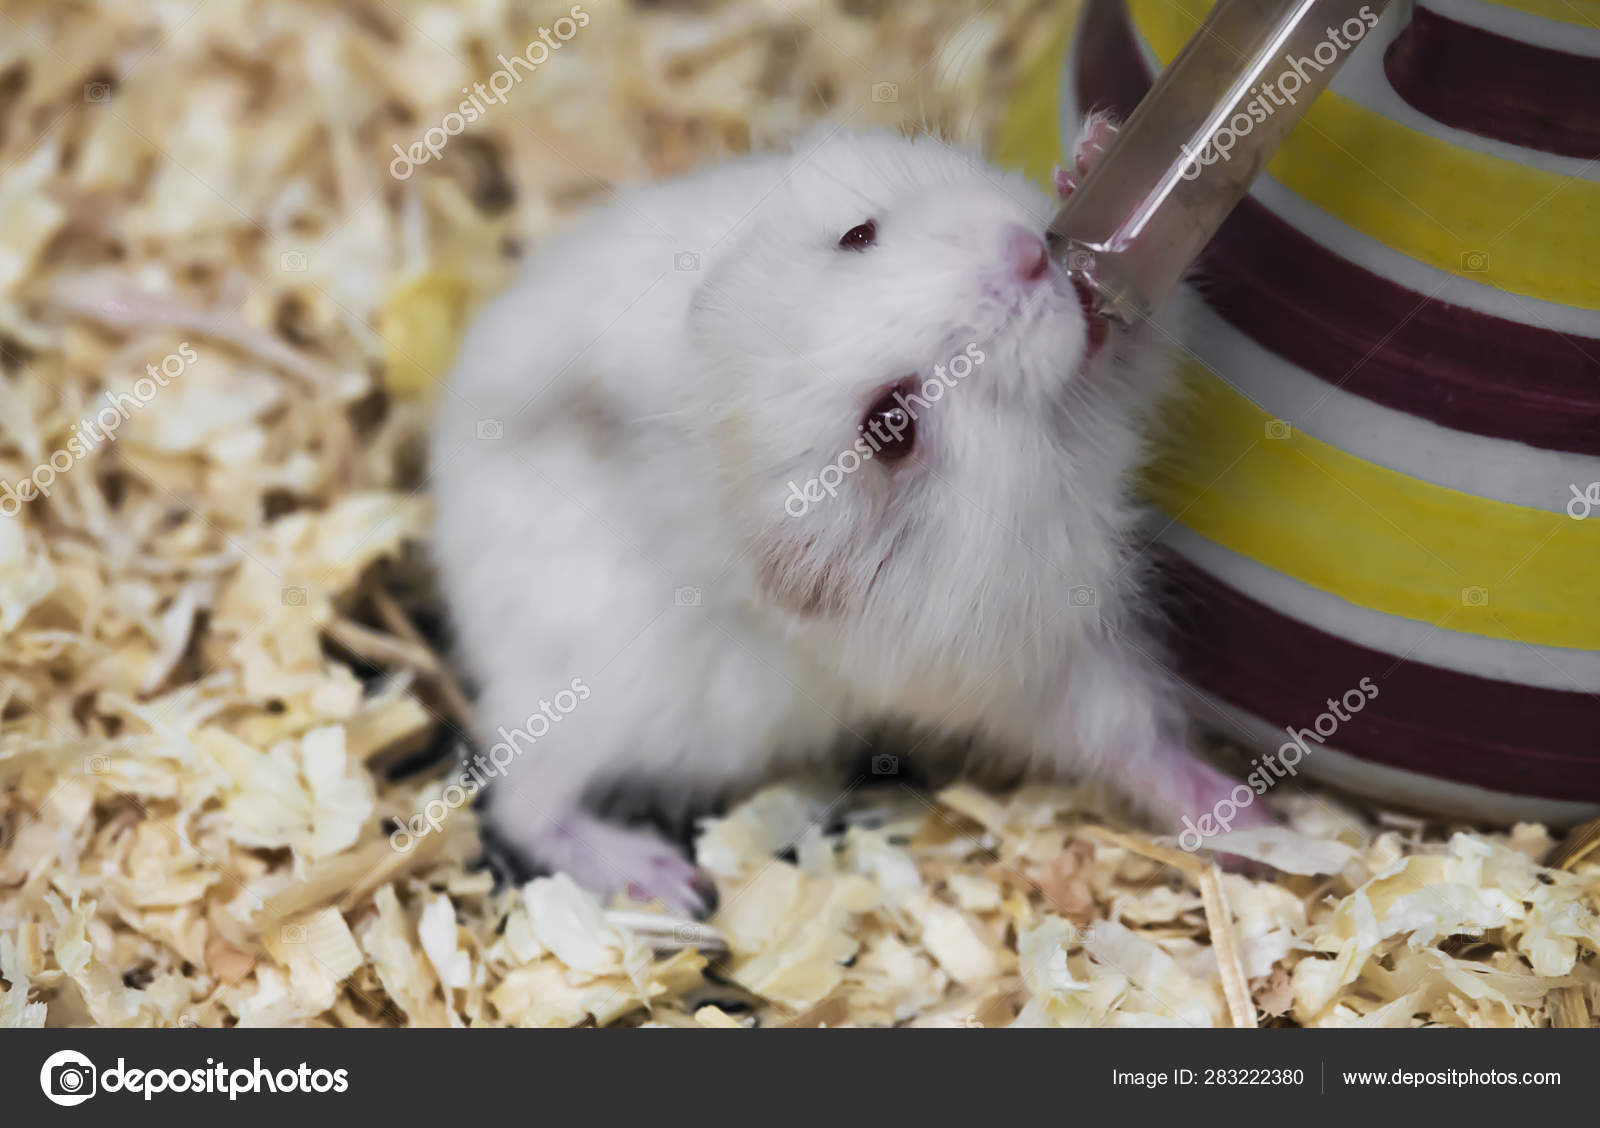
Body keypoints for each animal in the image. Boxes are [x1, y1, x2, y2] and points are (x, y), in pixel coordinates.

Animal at [428, 117, 1270, 914]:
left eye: (857, 234)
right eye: (890, 427)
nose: (1031, 254)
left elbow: (1149, 329)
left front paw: (1095, 157)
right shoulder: (1032, 663)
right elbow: (1130, 736)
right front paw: (1251, 827)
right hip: (590, 716)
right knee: (525, 800)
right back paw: (662, 879)